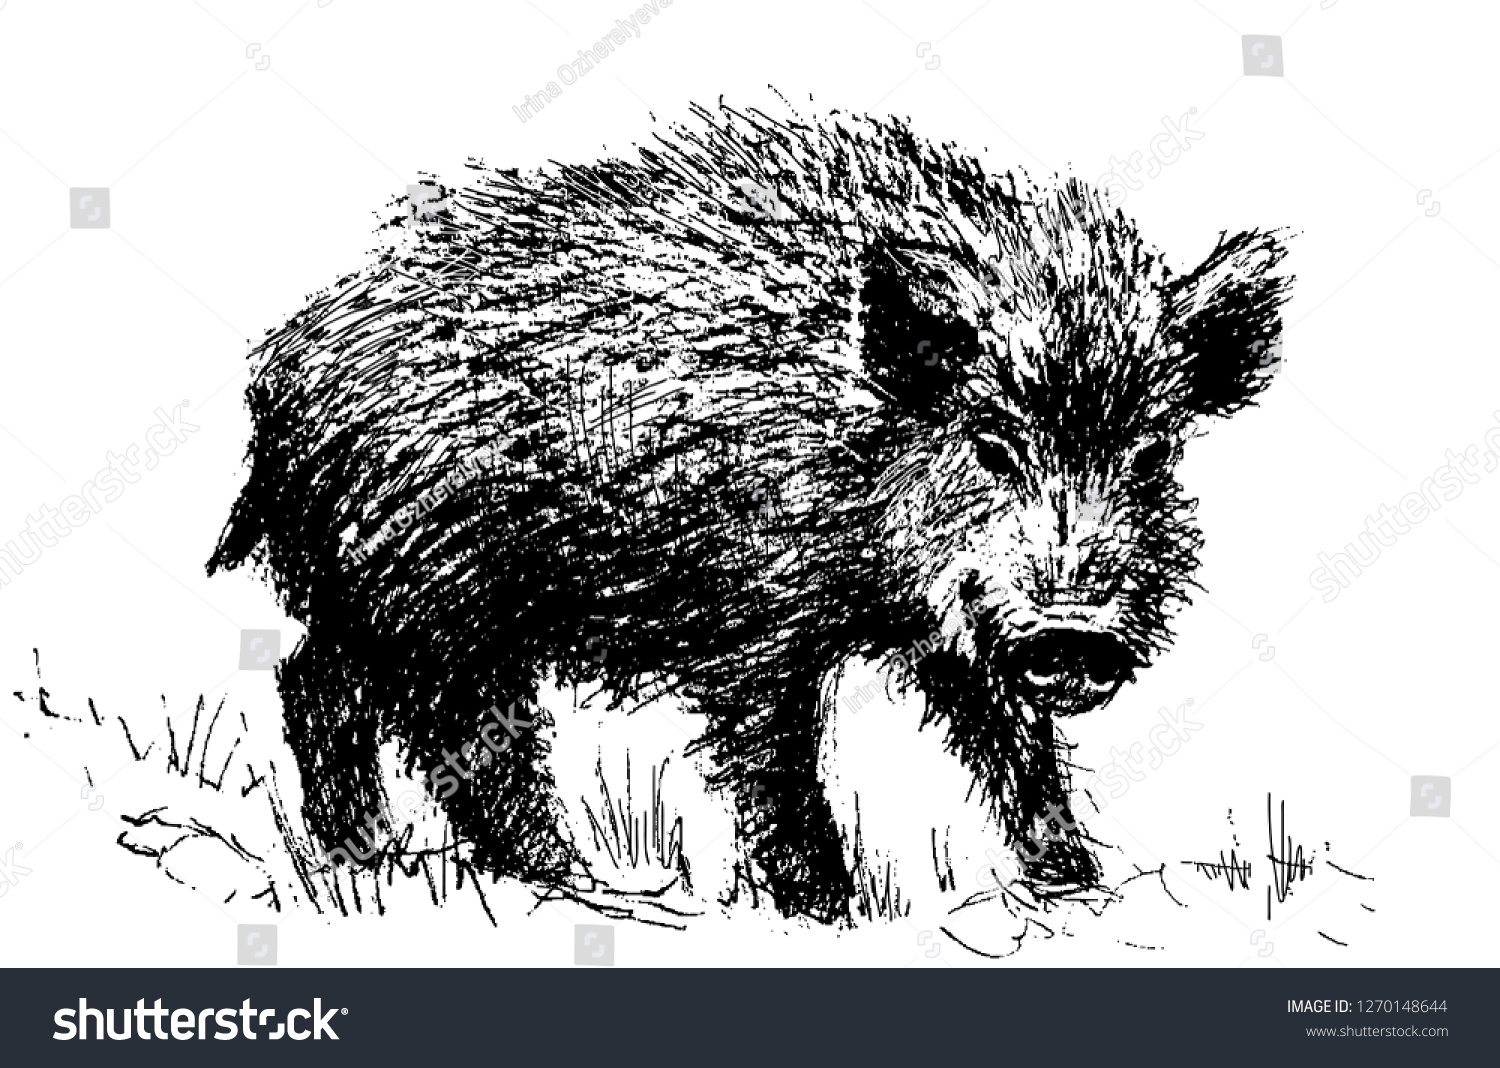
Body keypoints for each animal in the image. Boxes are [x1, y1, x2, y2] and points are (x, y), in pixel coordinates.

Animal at [208, 100, 1291, 924]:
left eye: (1151, 451)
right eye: (989, 443)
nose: (1075, 635)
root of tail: (277, 373)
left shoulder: (952, 630)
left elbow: (1014, 744)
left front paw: (1075, 888)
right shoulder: (750, 632)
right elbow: (780, 773)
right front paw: (829, 914)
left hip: (378, 596)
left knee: (316, 682)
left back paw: (368, 857)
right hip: (445, 594)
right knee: (457, 737)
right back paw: (578, 889)